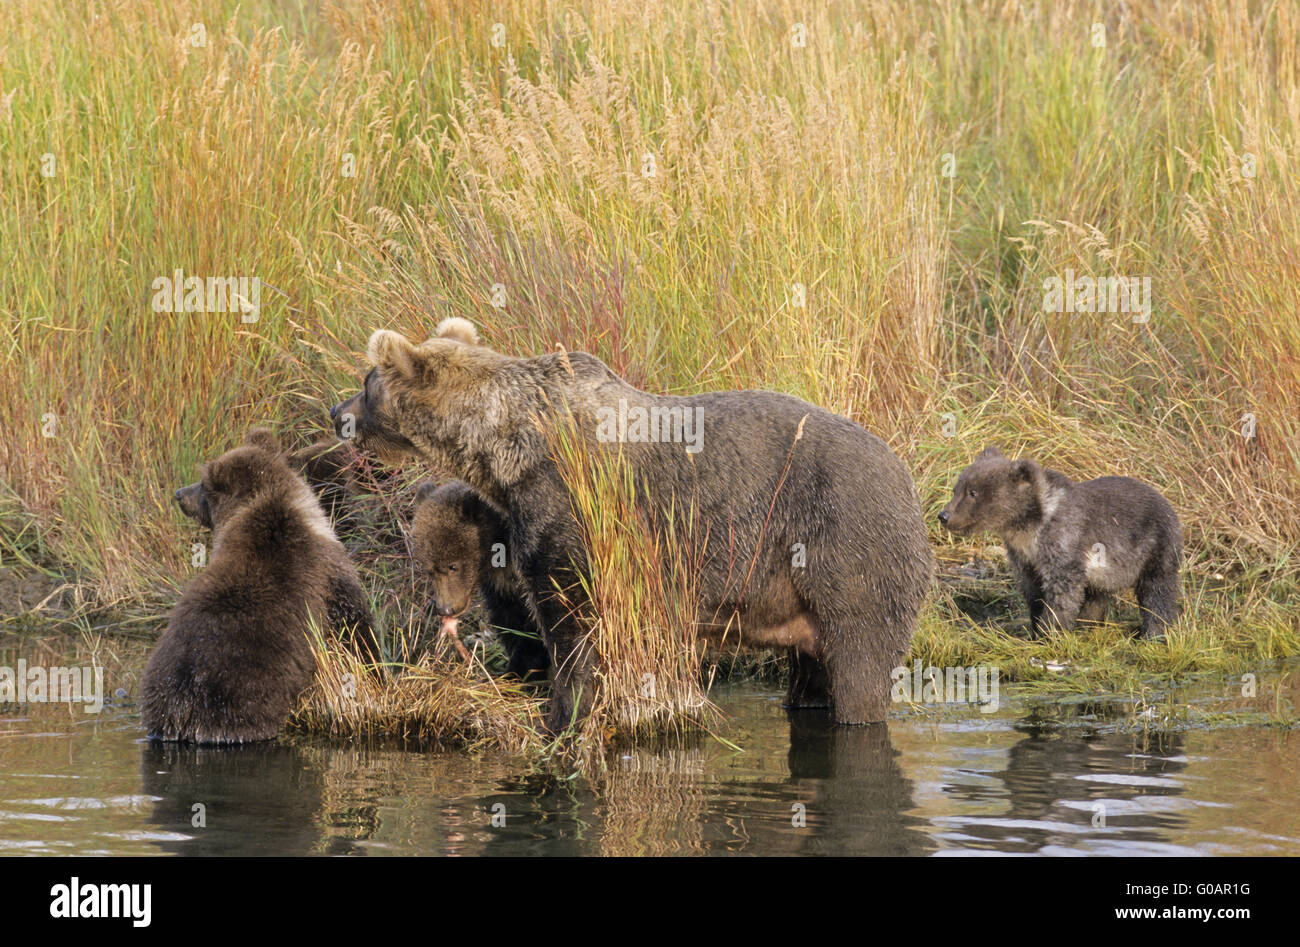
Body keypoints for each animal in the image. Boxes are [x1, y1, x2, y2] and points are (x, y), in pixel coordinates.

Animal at [938, 446, 1181, 639]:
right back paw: (1088, 624)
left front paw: (1050, 631)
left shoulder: (1064, 541)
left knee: (1157, 590)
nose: (944, 515)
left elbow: (1063, 590)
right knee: (1098, 595)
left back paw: (1153, 632)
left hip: (1156, 545)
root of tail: (1167, 502)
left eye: (973, 492)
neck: (1029, 525)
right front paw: (1036, 627)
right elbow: (1034, 592)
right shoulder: (1024, 555)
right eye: (956, 489)